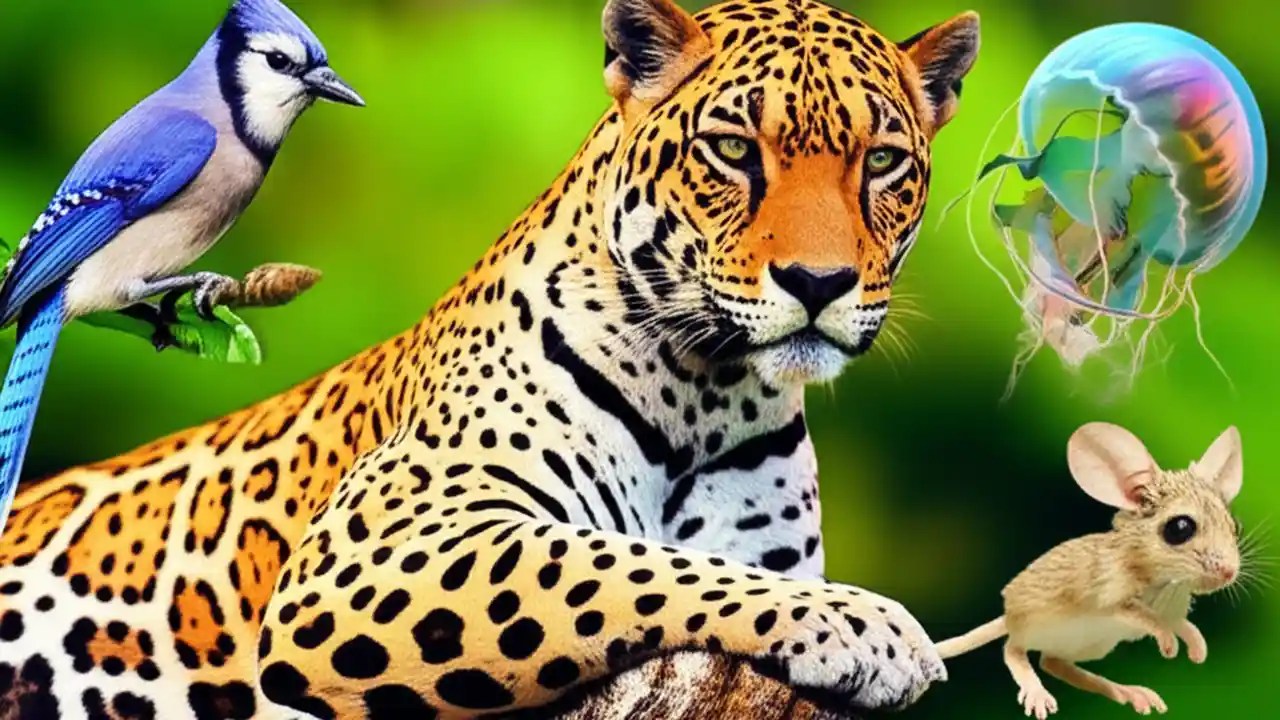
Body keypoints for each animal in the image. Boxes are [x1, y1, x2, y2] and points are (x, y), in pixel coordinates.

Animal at [0, 0, 979, 717]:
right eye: (733, 151)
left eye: (883, 163)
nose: (820, 282)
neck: (711, 396)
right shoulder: (377, 549)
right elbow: (634, 567)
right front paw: (866, 626)